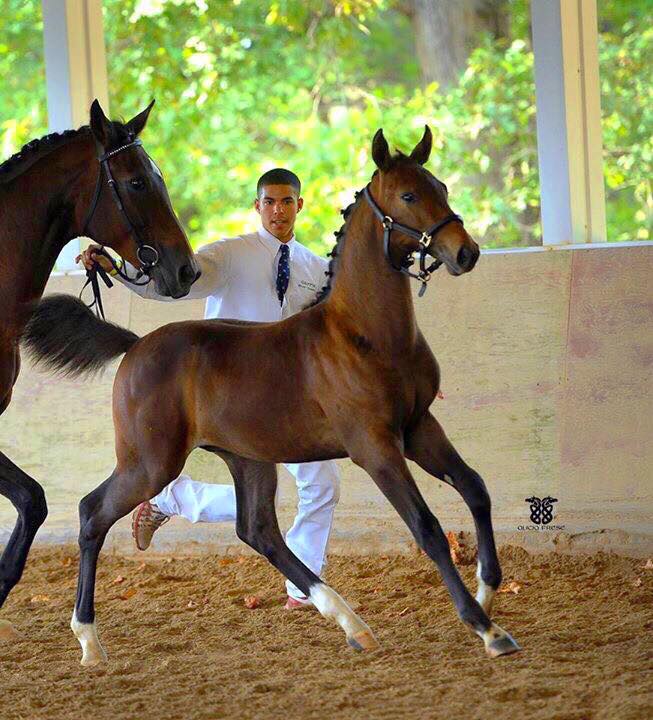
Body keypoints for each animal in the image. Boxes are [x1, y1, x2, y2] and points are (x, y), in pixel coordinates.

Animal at [23, 126, 520, 666]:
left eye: (442, 187)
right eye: (408, 196)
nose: (466, 252)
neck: (365, 334)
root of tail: (135, 345)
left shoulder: (419, 427)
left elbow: (475, 488)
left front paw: (488, 591)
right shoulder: (375, 446)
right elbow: (426, 528)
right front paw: (485, 627)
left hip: (247, 458)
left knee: (257, 529)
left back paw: (351, 622)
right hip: (151, 462)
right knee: (93, 512)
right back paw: (89, 640)